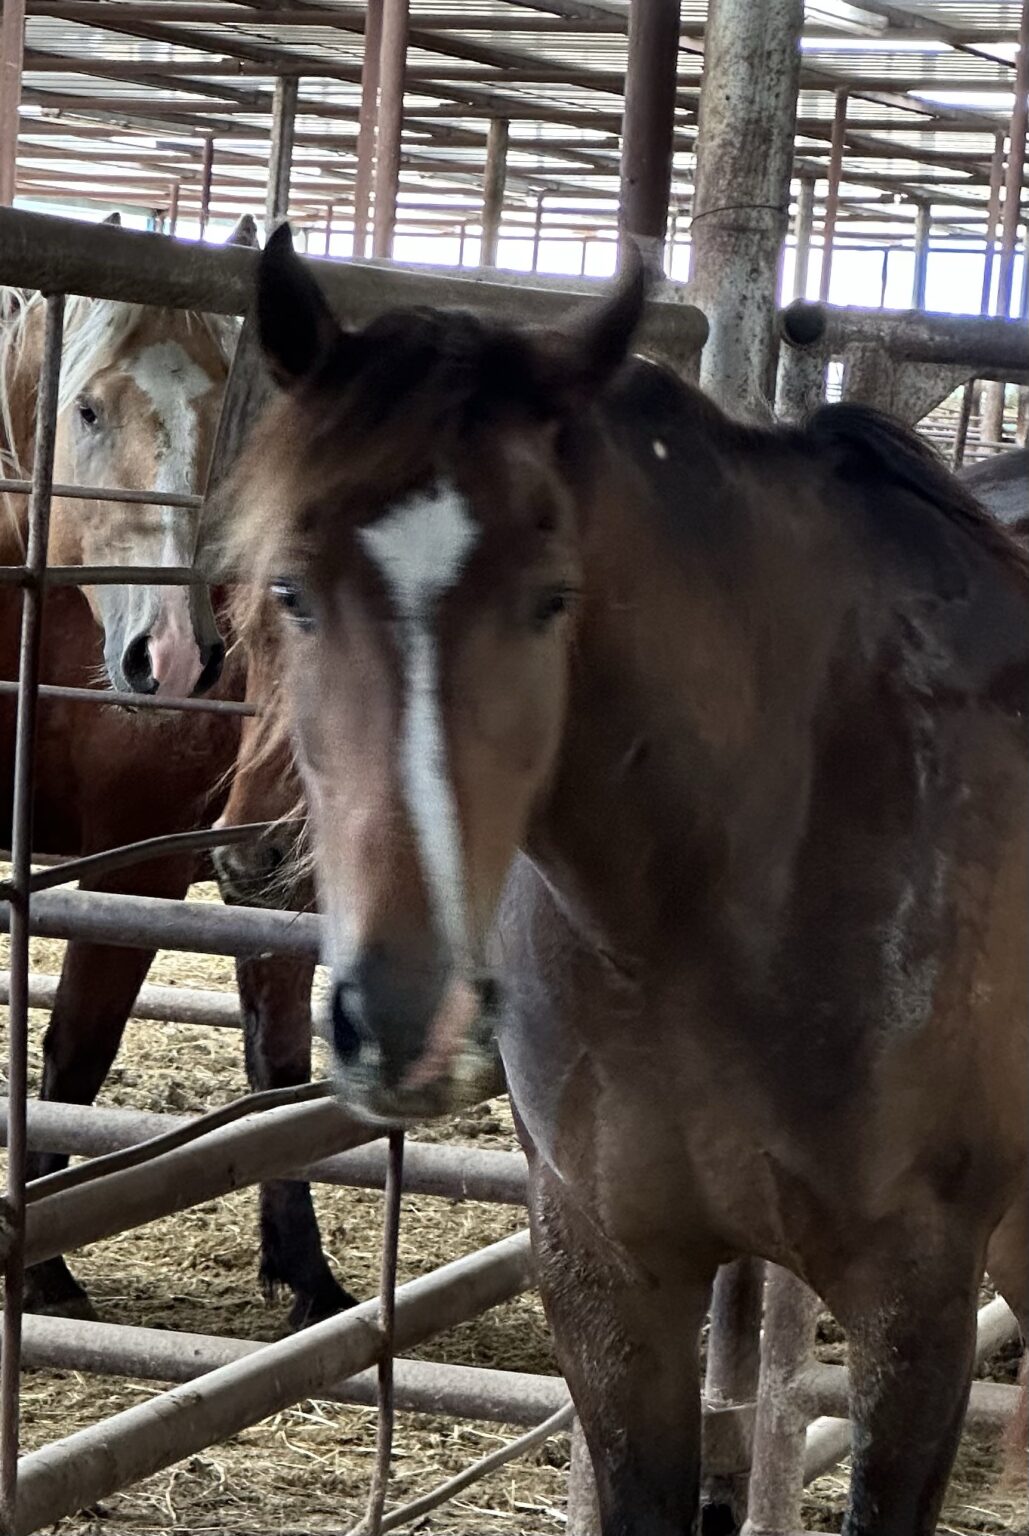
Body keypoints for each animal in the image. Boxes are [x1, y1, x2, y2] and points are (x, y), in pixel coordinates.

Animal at [0, 217, 354, 1329]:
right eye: (88, 408)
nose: (173, 652)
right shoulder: (132, 868)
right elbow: (78, 1050)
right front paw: (45, 1266)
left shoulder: (276, 880)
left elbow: (280, 1069)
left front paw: (309, 1274)